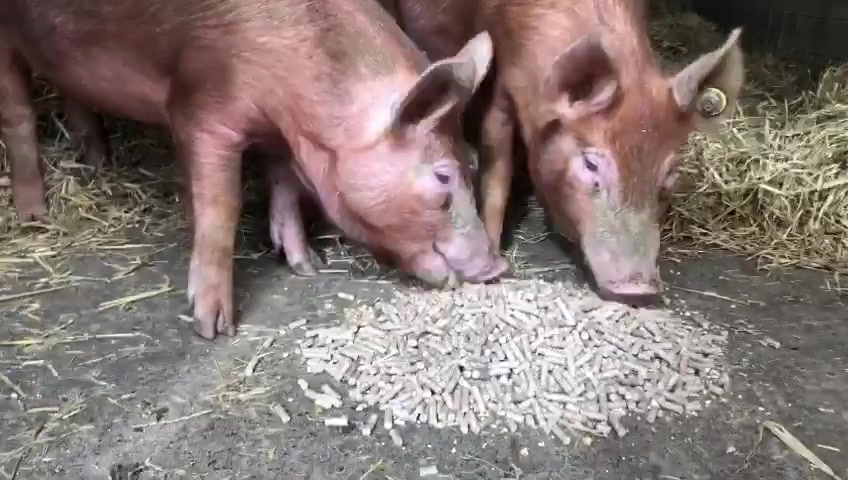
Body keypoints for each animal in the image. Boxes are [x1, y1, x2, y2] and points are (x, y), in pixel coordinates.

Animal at [1, 0, 508, 339]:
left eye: (472, 161)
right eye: (442, 175)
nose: (497, 266)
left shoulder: (281, 133)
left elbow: (284, 184)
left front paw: (306, 267)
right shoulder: (199, 108)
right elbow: (221, 206)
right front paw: (213, 327)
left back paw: (97, 163)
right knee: (17, 113)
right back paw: (35, 218)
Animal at [383, 0, 745, 305]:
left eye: (669, 173)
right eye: (591, 164)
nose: (638, 290)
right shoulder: (503, 83)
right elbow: (496, 169)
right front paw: (496, 263)